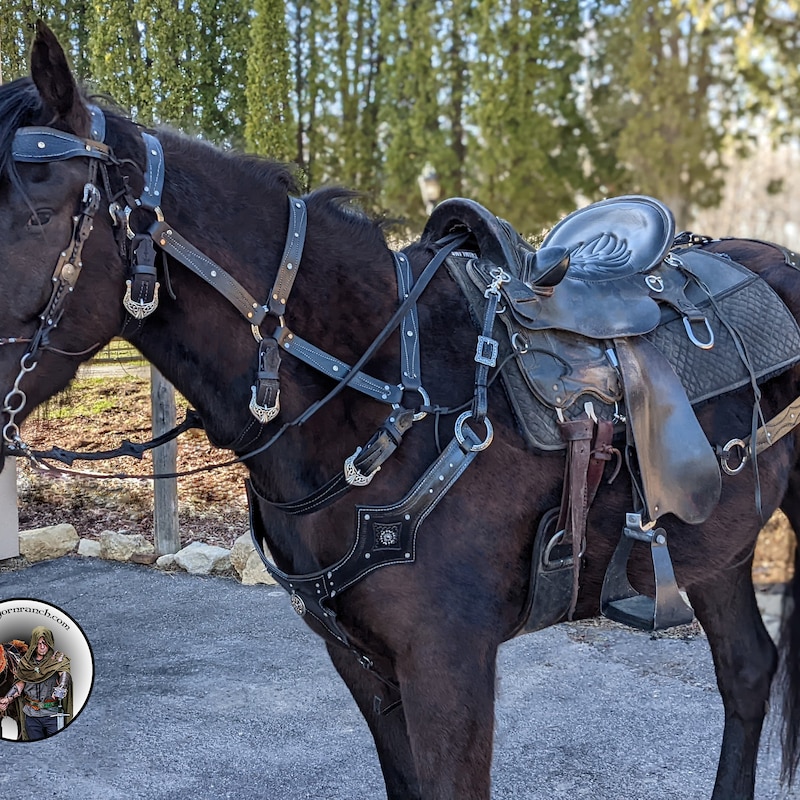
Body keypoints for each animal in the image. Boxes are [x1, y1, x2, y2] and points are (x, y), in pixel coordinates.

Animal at [1, 21, 800, 798]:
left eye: (35, 217)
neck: (384, 393)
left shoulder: (447, 665)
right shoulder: (365, 666)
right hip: (718, 547)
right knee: (748, 670)